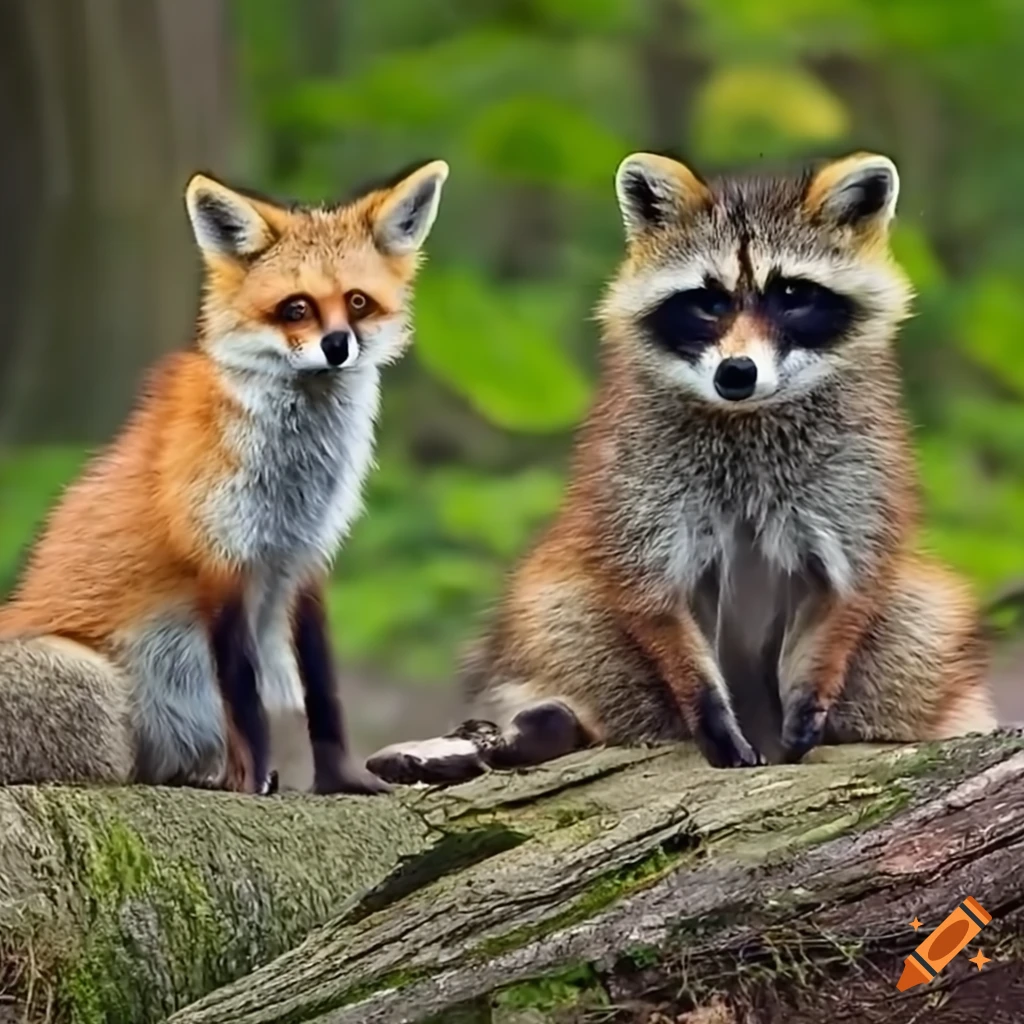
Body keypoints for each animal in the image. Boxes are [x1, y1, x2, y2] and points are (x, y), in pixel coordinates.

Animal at [0, 158, 450, 793]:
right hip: (95, 693)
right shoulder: (222, 558)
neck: (293, 485)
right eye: (296, 308)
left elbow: (325, 694)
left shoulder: (305, 558)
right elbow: (246, 704)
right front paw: (250, 785)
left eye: (358, 302)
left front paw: (341, 781)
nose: (338, 346)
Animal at [366, 150, 998, 785]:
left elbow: (849, 591)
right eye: (708, 302)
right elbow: (651, 600)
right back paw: (530, 731)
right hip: (571, 602)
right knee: (564, 620)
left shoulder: (855, 486)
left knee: (921, 627)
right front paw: (707, 709)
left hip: (913, 623)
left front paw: (815, 684)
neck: (746, 415)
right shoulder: (640, 488)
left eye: (792, 294)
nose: (736, 373)